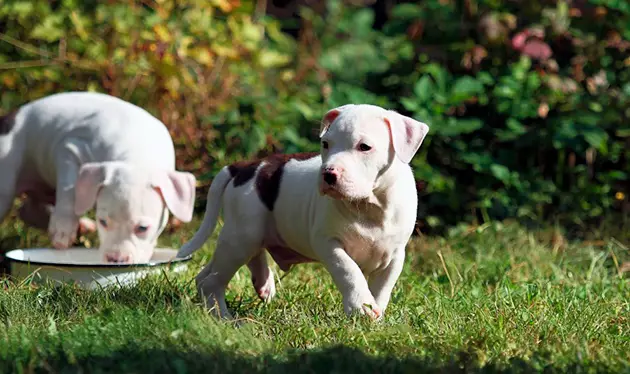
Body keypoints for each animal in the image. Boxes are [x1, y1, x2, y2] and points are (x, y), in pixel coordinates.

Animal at [0, 91, 198, 262]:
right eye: (103, 222)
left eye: (142, 228)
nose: (115, 259)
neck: (136, 156)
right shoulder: (69, 150)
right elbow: (69, 189)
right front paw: (63, 228)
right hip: (7, 179)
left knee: (28, 209)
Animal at [180, 103, 432, 320]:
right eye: (326, 144)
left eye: (364, 147)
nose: (328, 173)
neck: (369, 205)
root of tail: (244, 166)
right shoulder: (328, 243)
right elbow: (348, 271)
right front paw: (360, 305)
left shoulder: (394, 255)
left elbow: (382, 288)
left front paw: (374, 313)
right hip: (241, 236)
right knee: (213, 281)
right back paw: (223, 317)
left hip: (244, 236)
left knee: (211, 273)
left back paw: (260, 282)